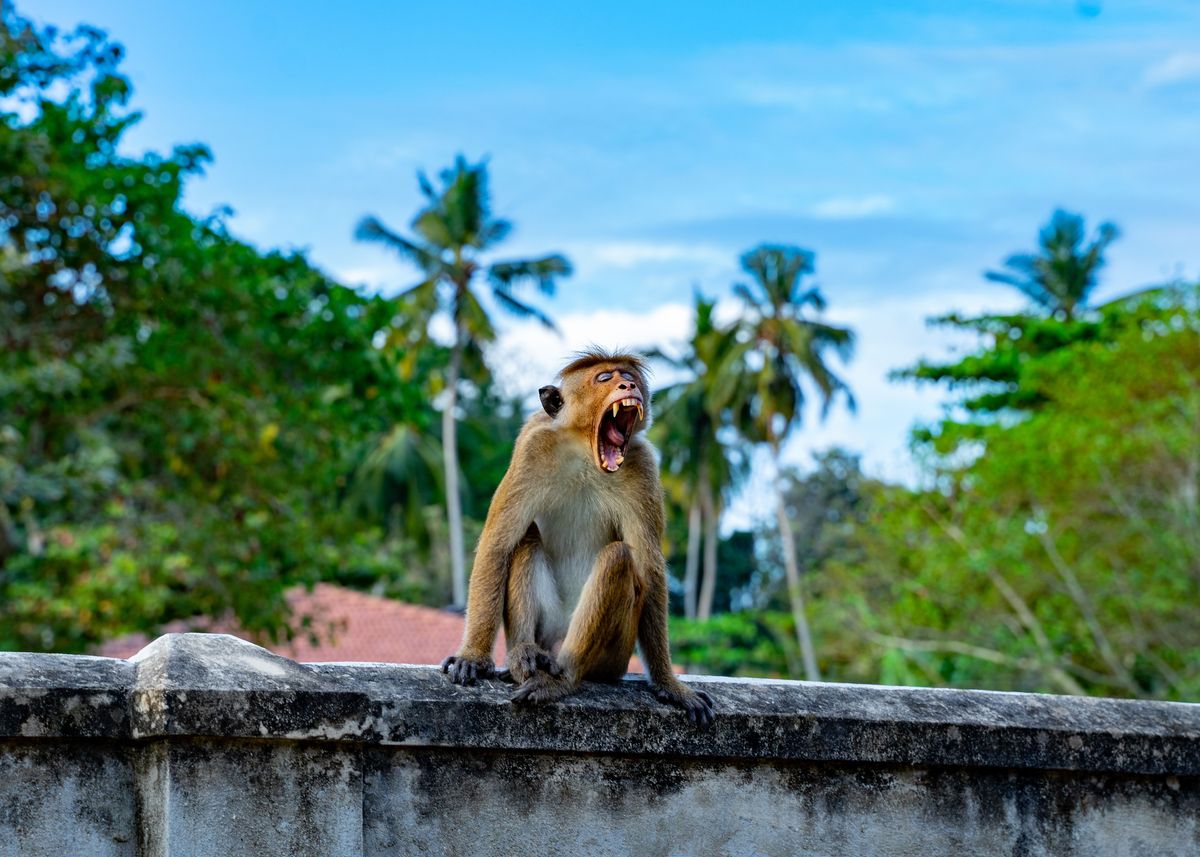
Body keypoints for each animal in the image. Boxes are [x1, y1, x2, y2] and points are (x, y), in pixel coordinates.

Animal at [441, 348, 715, 725]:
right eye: (605, 378)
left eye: (628, 375)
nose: (628, 385)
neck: (585, 453)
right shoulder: (532, 448)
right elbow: (498, 543)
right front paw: (473, 656)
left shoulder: (642, 466)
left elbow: (649, 567)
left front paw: (668, 684)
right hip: (550, 625)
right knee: (526, 537)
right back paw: (525, 655)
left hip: (612, 655)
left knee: (618, 558)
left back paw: (563, 677)